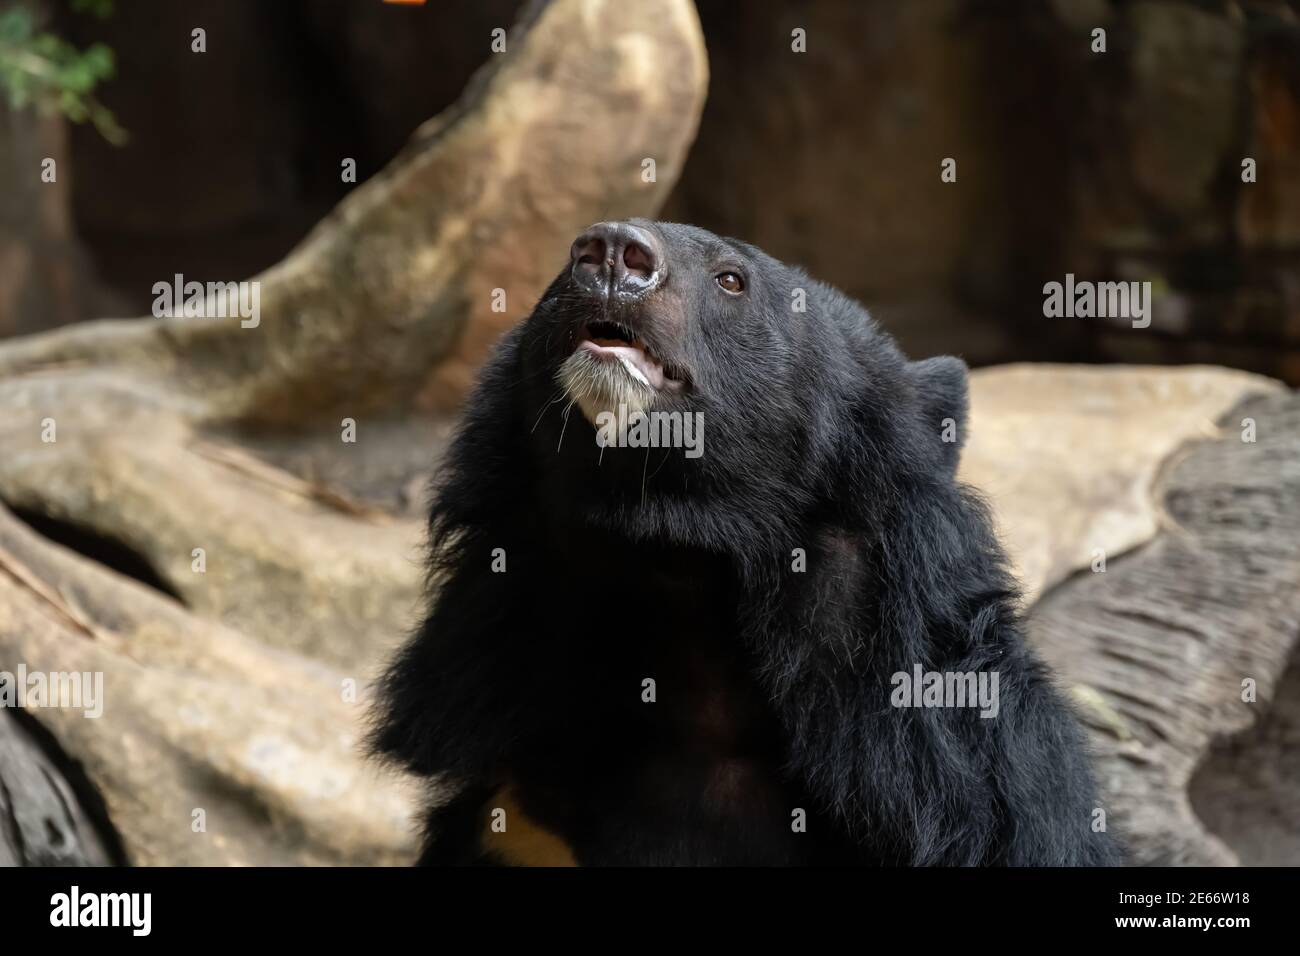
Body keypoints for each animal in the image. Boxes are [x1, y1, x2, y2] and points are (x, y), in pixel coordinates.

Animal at [372, 219, 1120, 866]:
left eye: (732, 280)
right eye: (568, 263)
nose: (610, 251)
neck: (673, 569)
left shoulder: (946, 778)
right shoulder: (519, 812)